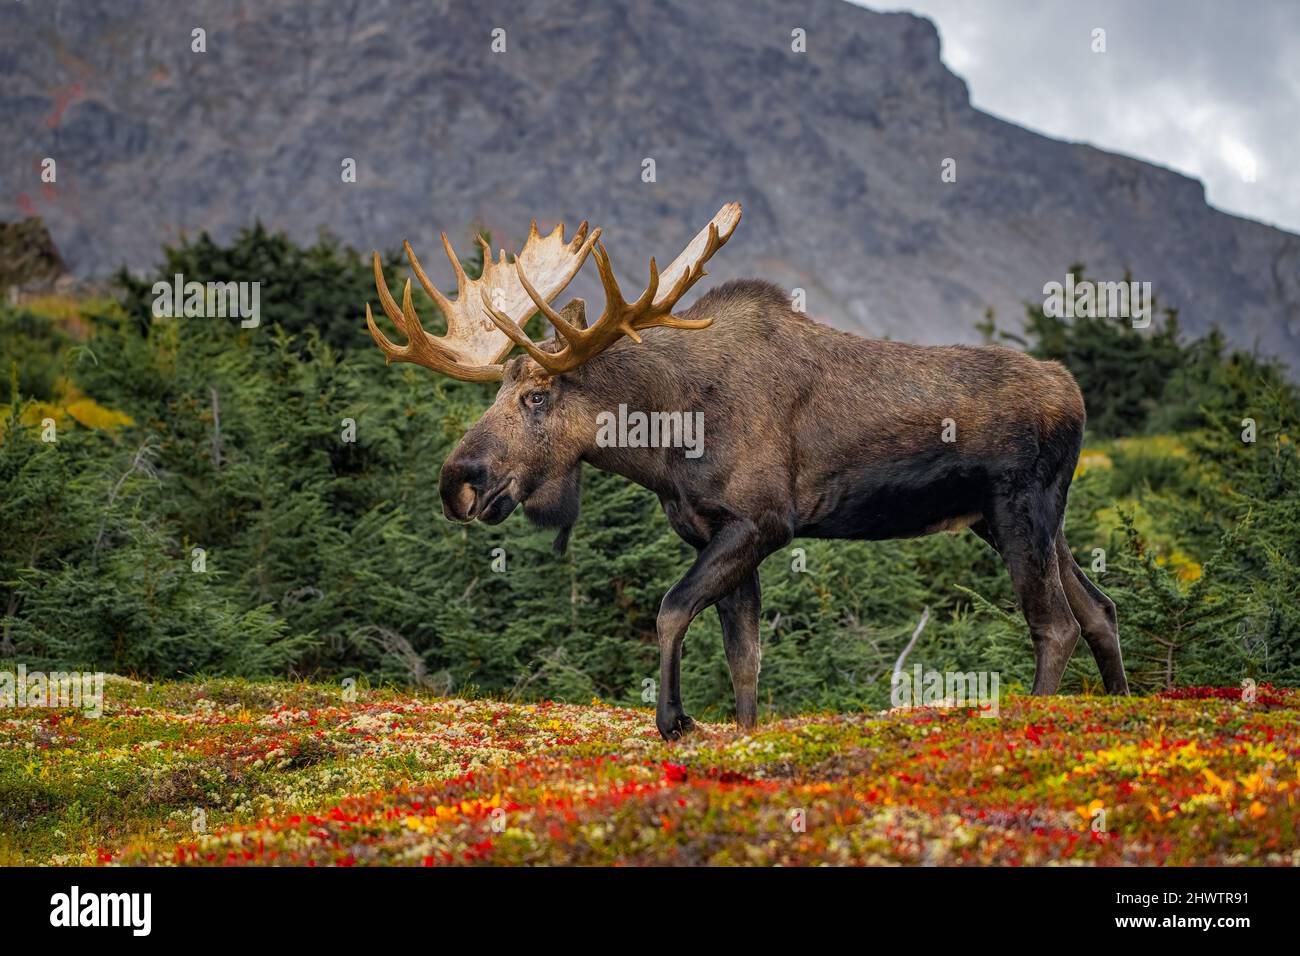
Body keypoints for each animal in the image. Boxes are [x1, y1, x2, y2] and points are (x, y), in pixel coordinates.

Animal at [364, 203, 1129, 740]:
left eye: (538, 395)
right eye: (500, 389)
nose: (458, 482)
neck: (666, 436)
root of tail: (1073, 394)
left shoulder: (761, 522)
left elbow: (672, 609)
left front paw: (674, 720)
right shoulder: (714, 531)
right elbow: (745, 656)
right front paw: (741, 731)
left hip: (1019, 509)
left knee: (1055, 623)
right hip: (1019, 521)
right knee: (1100, 608)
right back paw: (1125, 707)